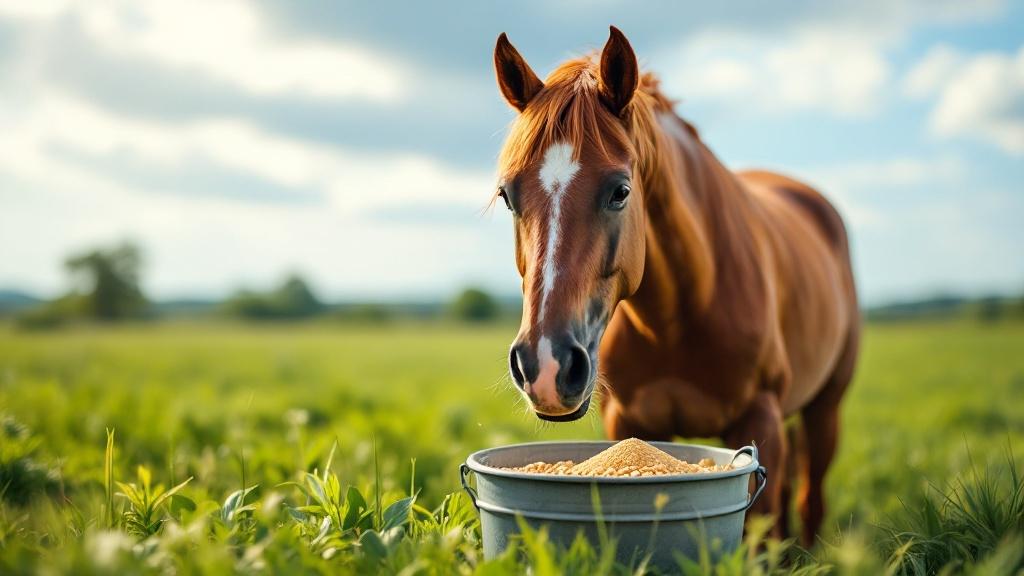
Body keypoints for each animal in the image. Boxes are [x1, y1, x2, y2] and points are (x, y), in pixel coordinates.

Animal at [491, 27, 860, 544]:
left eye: (621, 191)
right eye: (507, 195)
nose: (544, 367)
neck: (678, 317)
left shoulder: (760, 421)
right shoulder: (628, 422)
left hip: (824, 410)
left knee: (810, 501)